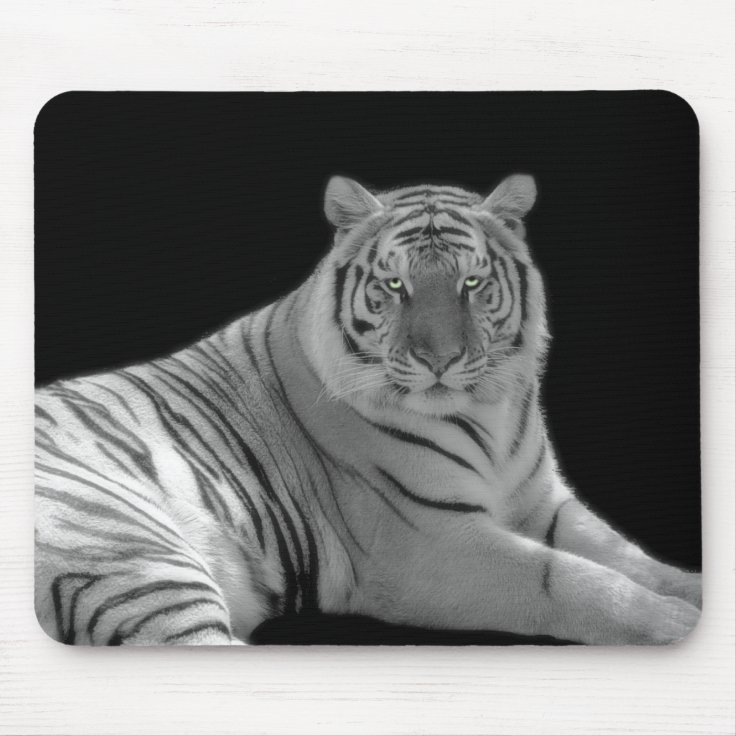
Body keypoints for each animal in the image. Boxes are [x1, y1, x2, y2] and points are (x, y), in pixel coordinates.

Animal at [34, 173, 702, 646]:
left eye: (470, 284)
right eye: (396, 285)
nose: (439, 359)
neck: (491, 414)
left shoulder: (541, 502)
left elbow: (628, 556)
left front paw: (691, 592)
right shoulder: (432, 543)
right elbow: (570, 580)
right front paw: (674, 624)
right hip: (133, 549)